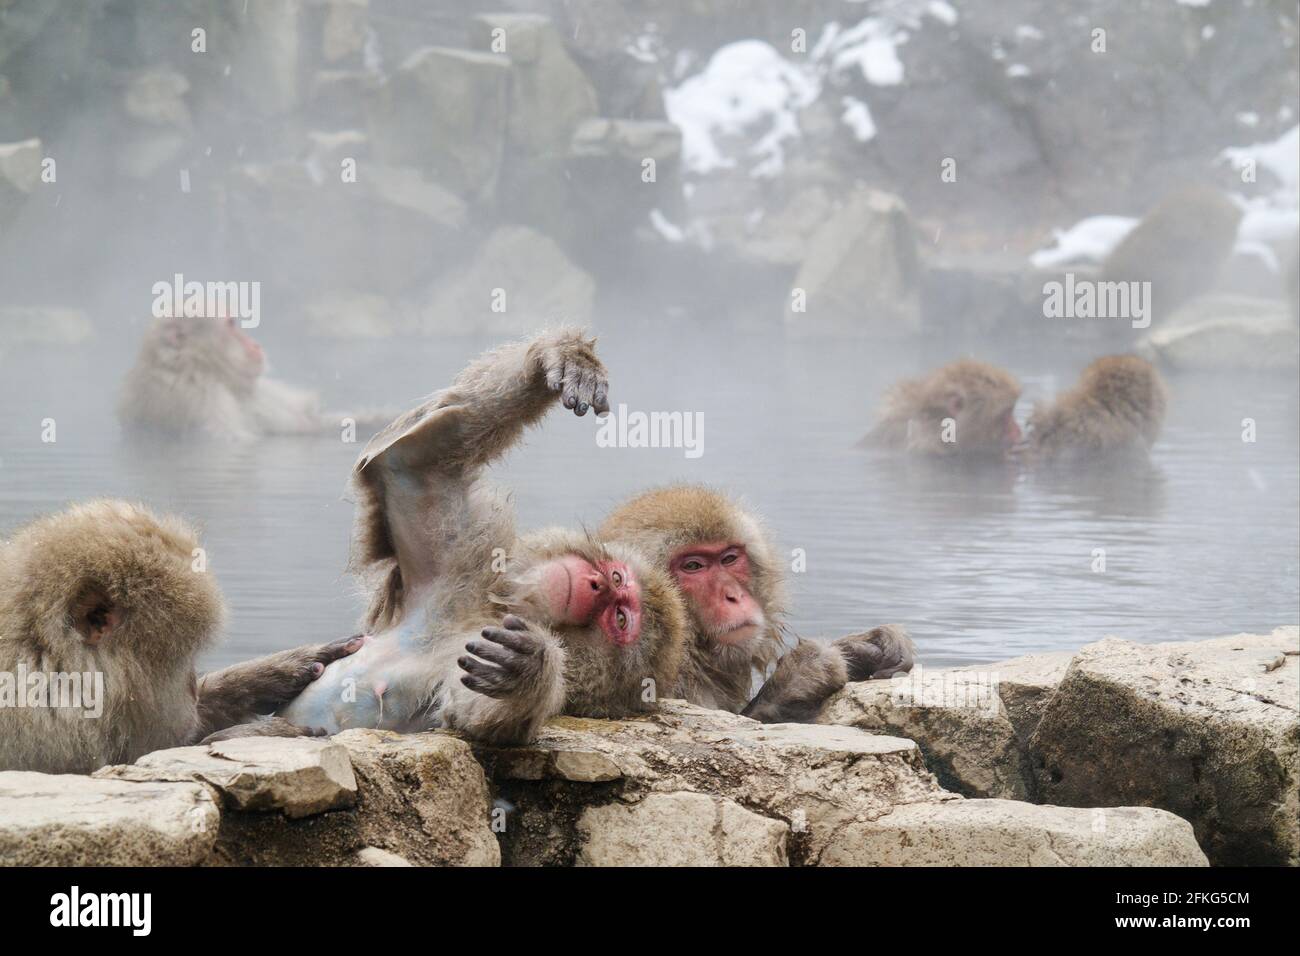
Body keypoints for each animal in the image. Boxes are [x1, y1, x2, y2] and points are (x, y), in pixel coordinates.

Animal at [279, 329, 688, 745]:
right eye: (616, 578)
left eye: (619, 618)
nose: (596, 585)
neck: (501, 611)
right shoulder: (462, 572)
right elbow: (411, 462)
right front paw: (564, 358)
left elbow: (474, 717)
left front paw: (530, 670)